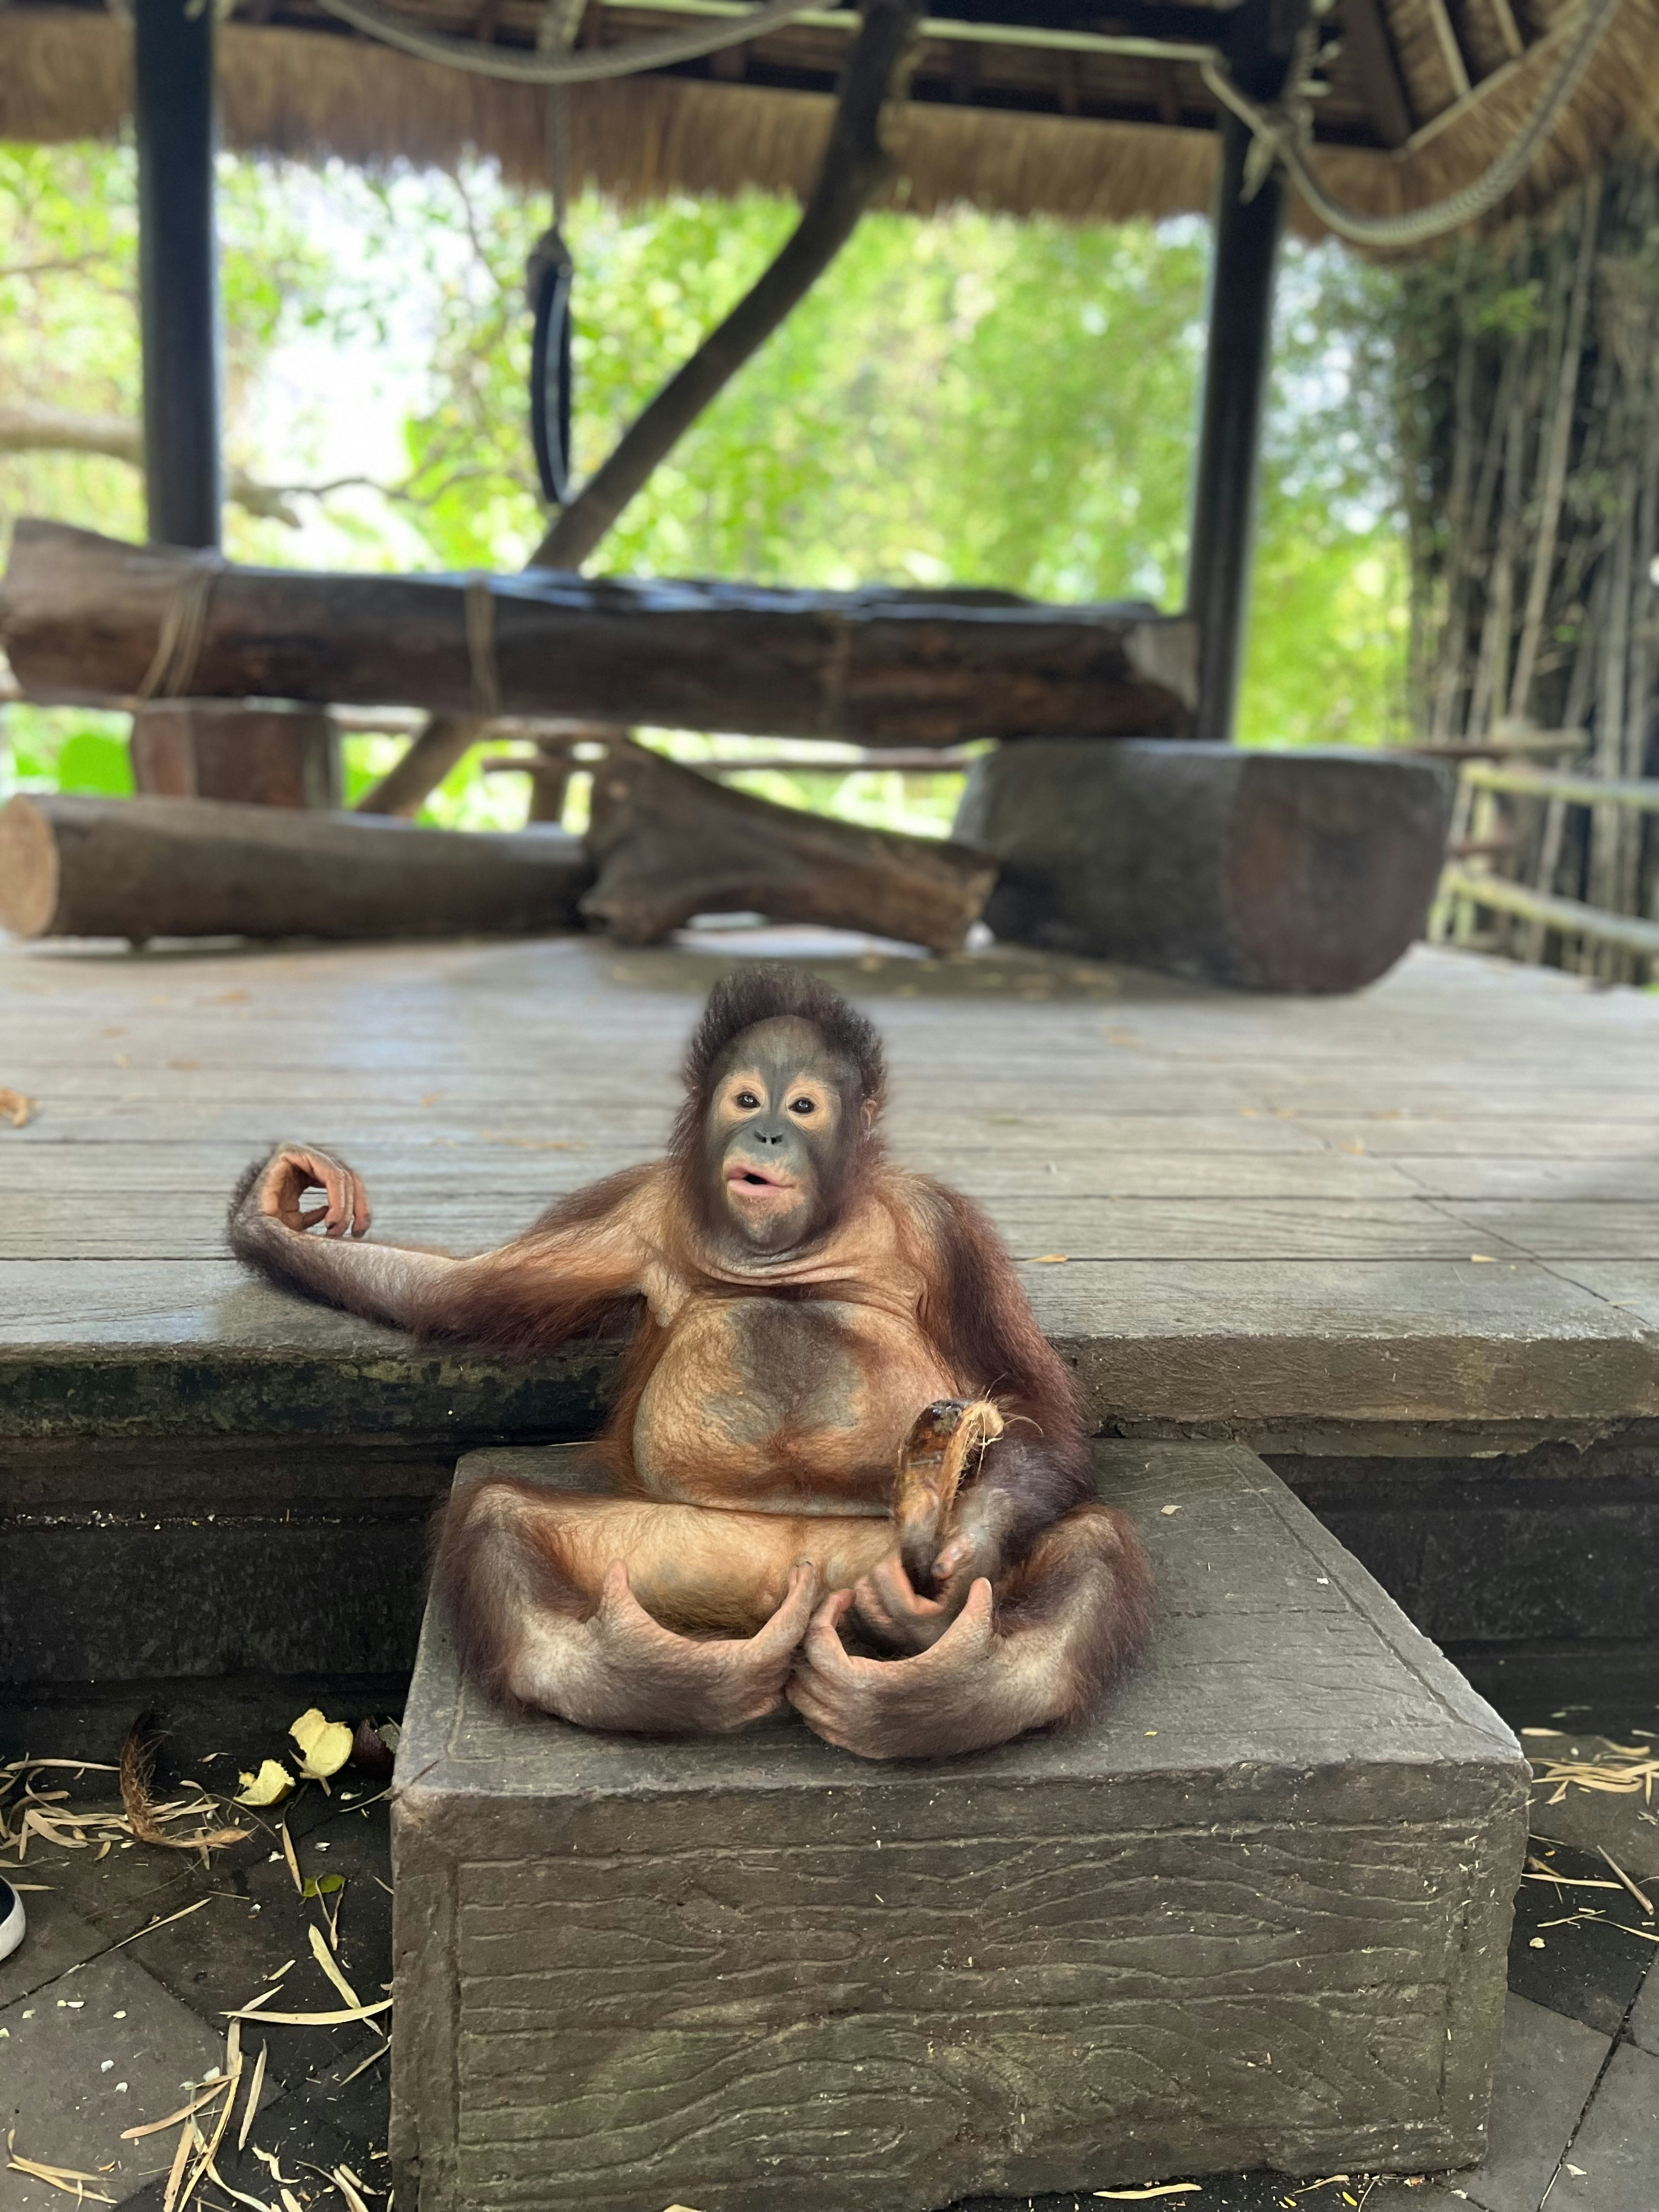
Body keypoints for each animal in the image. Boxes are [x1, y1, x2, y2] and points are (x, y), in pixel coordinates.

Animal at [227, 966, 1151, 1760]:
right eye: (745, 1098)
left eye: (804, 1106)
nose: (767, 1131)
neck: (791, 1248)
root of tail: (795, 1574)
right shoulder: (636, 1213)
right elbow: (456, 1293)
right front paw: (269, 1210)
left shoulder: (943, 1227)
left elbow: (1033, 1408)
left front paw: (954, 1560)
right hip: (693, 1549)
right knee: (495, 1518)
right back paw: (656, 1673)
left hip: (860, 1552)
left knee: (1095, 1544)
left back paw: (934, 1662)